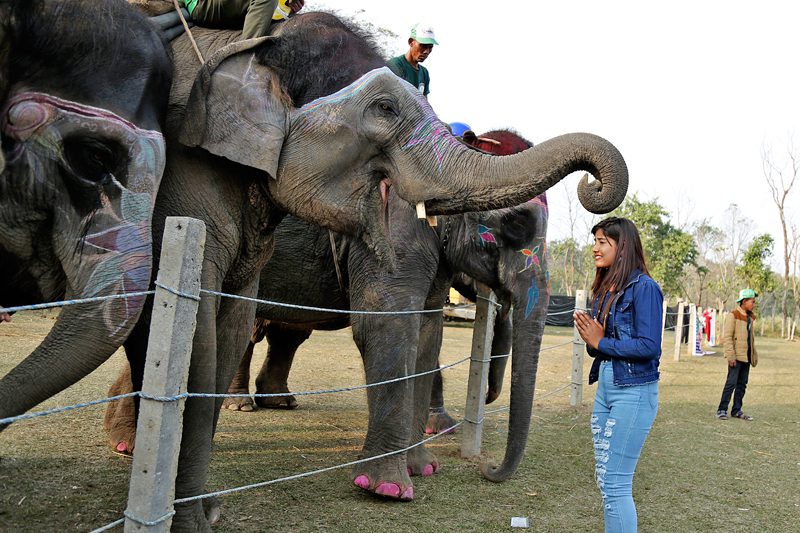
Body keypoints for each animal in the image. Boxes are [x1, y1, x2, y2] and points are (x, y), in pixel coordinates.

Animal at [2, 10, 628, 531]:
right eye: (514, 226)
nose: (490, 474)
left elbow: (425, 331)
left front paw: (422, 468)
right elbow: (384, 323)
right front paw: (387, 488)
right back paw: (153, 439)